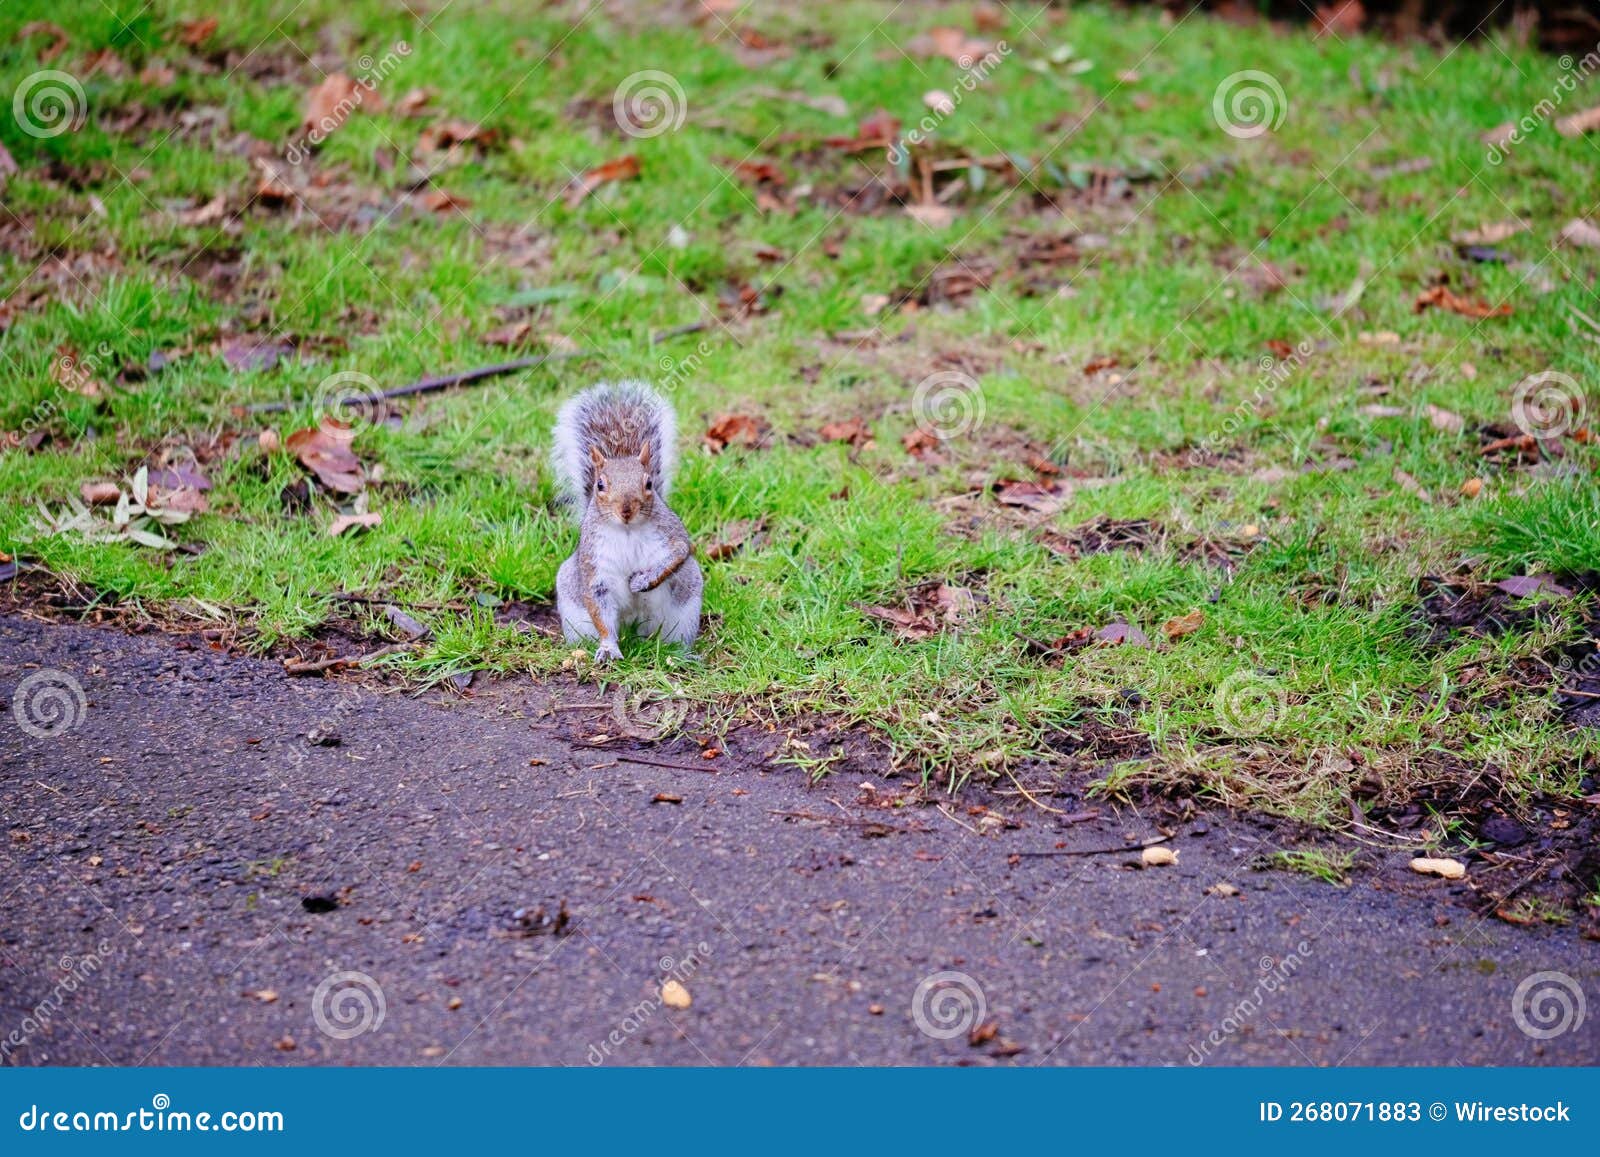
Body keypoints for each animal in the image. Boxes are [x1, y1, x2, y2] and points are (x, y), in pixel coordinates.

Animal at [552, 382, 703, 662]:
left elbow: (677, 554)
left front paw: (642, 580)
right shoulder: (595, 569)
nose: (626, 510)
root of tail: (635, 629)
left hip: (684, 611)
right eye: (600, 485)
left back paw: (682, 654)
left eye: (649, 483)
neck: (627, 530)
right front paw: (609, 648)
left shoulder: (672, 536)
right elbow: (601, 613)